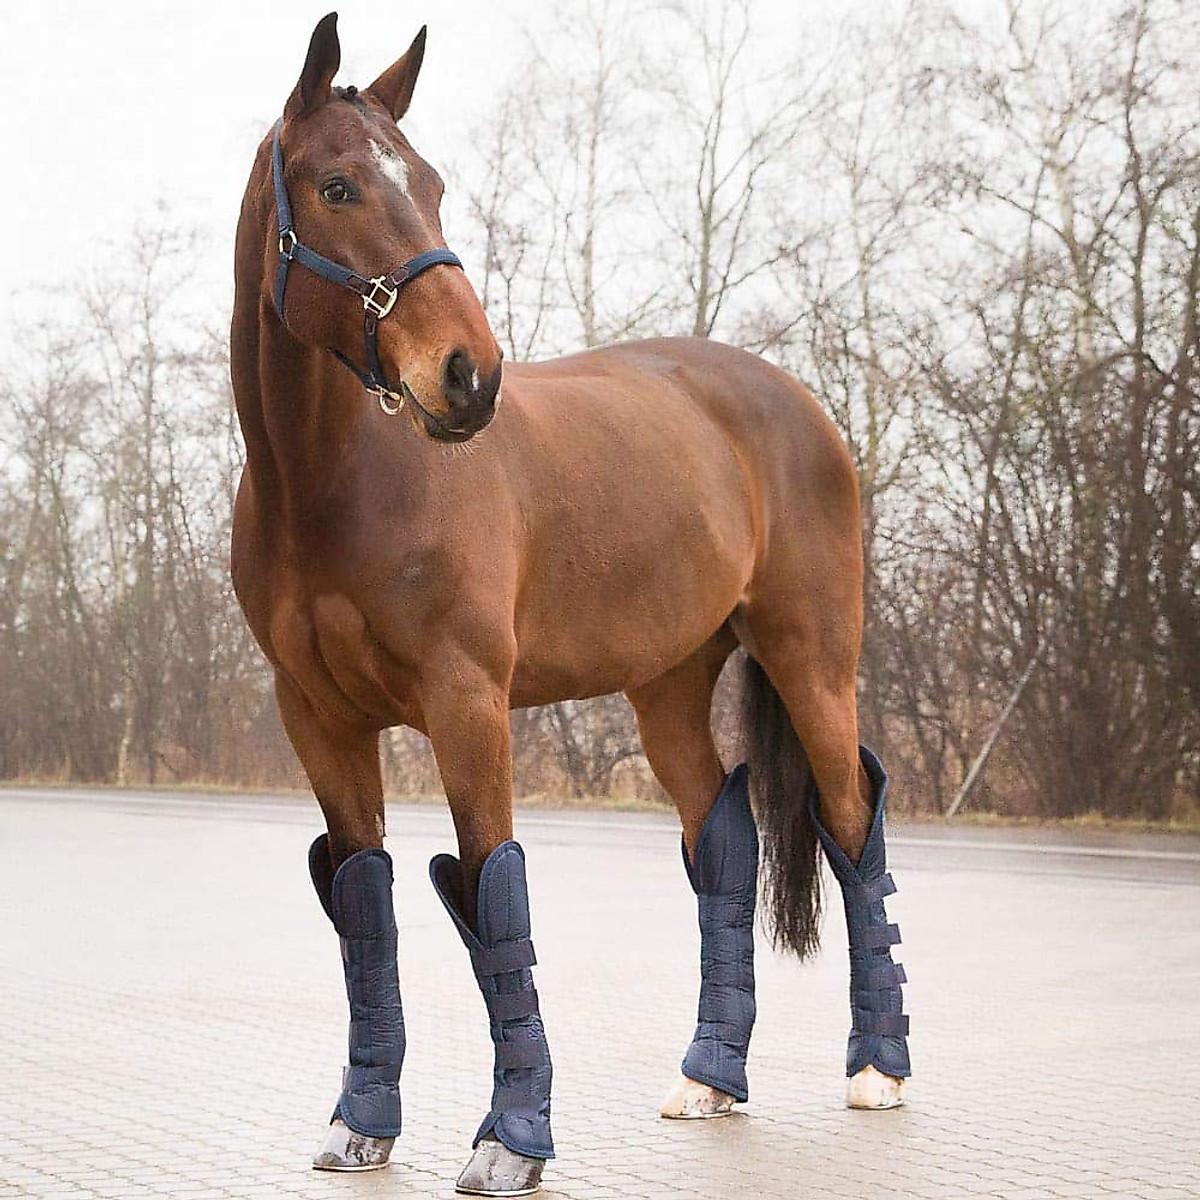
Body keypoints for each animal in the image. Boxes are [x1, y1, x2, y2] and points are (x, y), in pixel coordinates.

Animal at [230, 13, 910, 1195]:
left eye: (433, 185)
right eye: (338, 187)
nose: (470, 376)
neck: (329, 485)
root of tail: (797, 405)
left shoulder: (467, 703)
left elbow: (491, 896)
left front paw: (512, 1140)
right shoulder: (316, 716)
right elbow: (365, 904)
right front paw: (363, 1124)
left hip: (812, 660)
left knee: (849, 818)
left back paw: (876, 1069)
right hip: (670, 686)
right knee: (721, 841)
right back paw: (710, 1079)